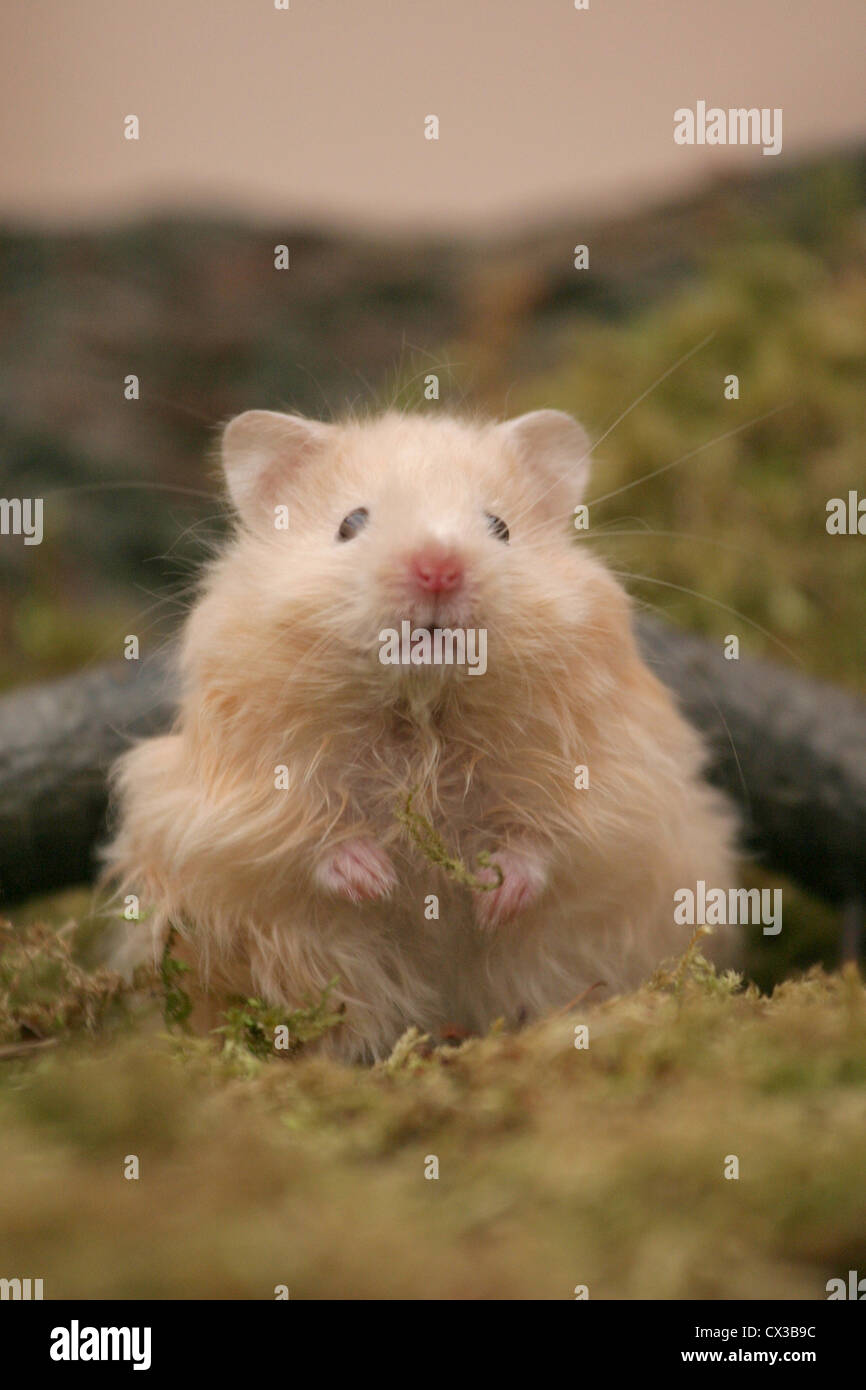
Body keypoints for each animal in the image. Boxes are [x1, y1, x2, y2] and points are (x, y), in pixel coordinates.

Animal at [105, 408, 738, 1061]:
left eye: (500, 527)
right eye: (350, 524)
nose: (439, 569)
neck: (421, 712)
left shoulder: (620, 781)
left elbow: (553, 842)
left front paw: (491, 899)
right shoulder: (223, 800)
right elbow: (300, 839)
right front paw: (378, 881)